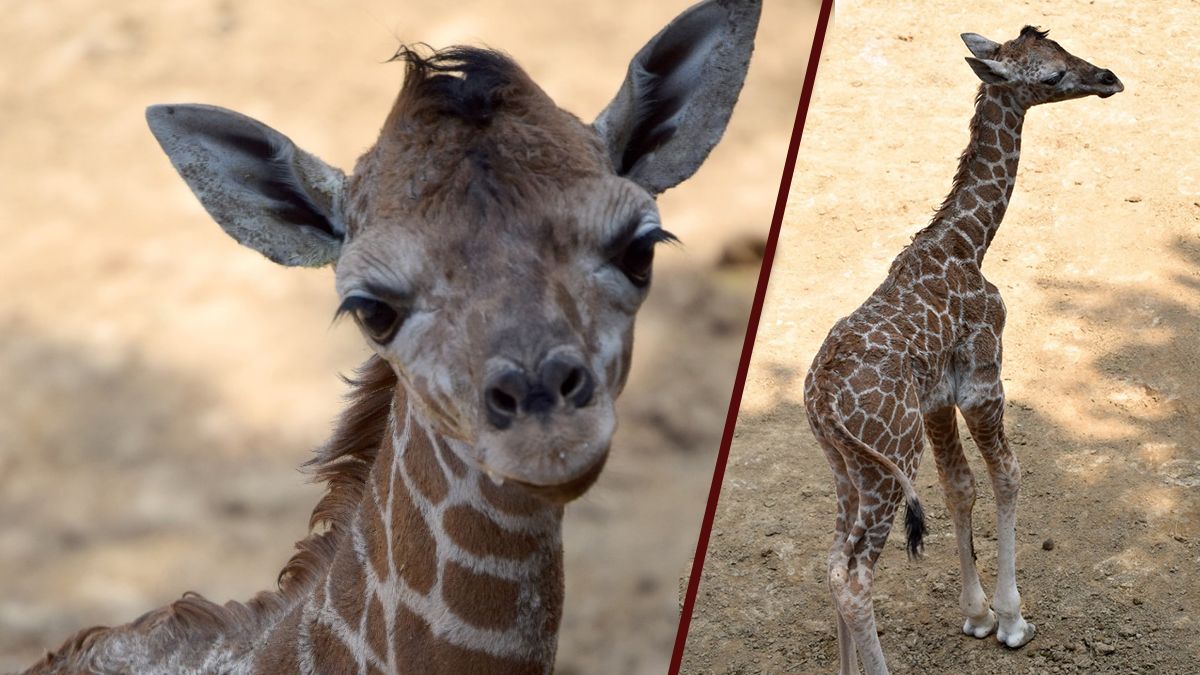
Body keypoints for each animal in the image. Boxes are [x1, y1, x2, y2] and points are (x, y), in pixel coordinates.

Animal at [802, 27, 1122, 675]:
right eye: (1052, 76)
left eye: (1064, 48)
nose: (1108, 78)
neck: (968, 243)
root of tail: (821, 403)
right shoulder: (983, 378)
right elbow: (1008, 476)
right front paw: (1012, 620)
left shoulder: (936, 400)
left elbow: (961, 487)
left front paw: (977, 616)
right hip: (888, 462)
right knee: (855, 578)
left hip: (847, 467)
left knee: (832, 562)